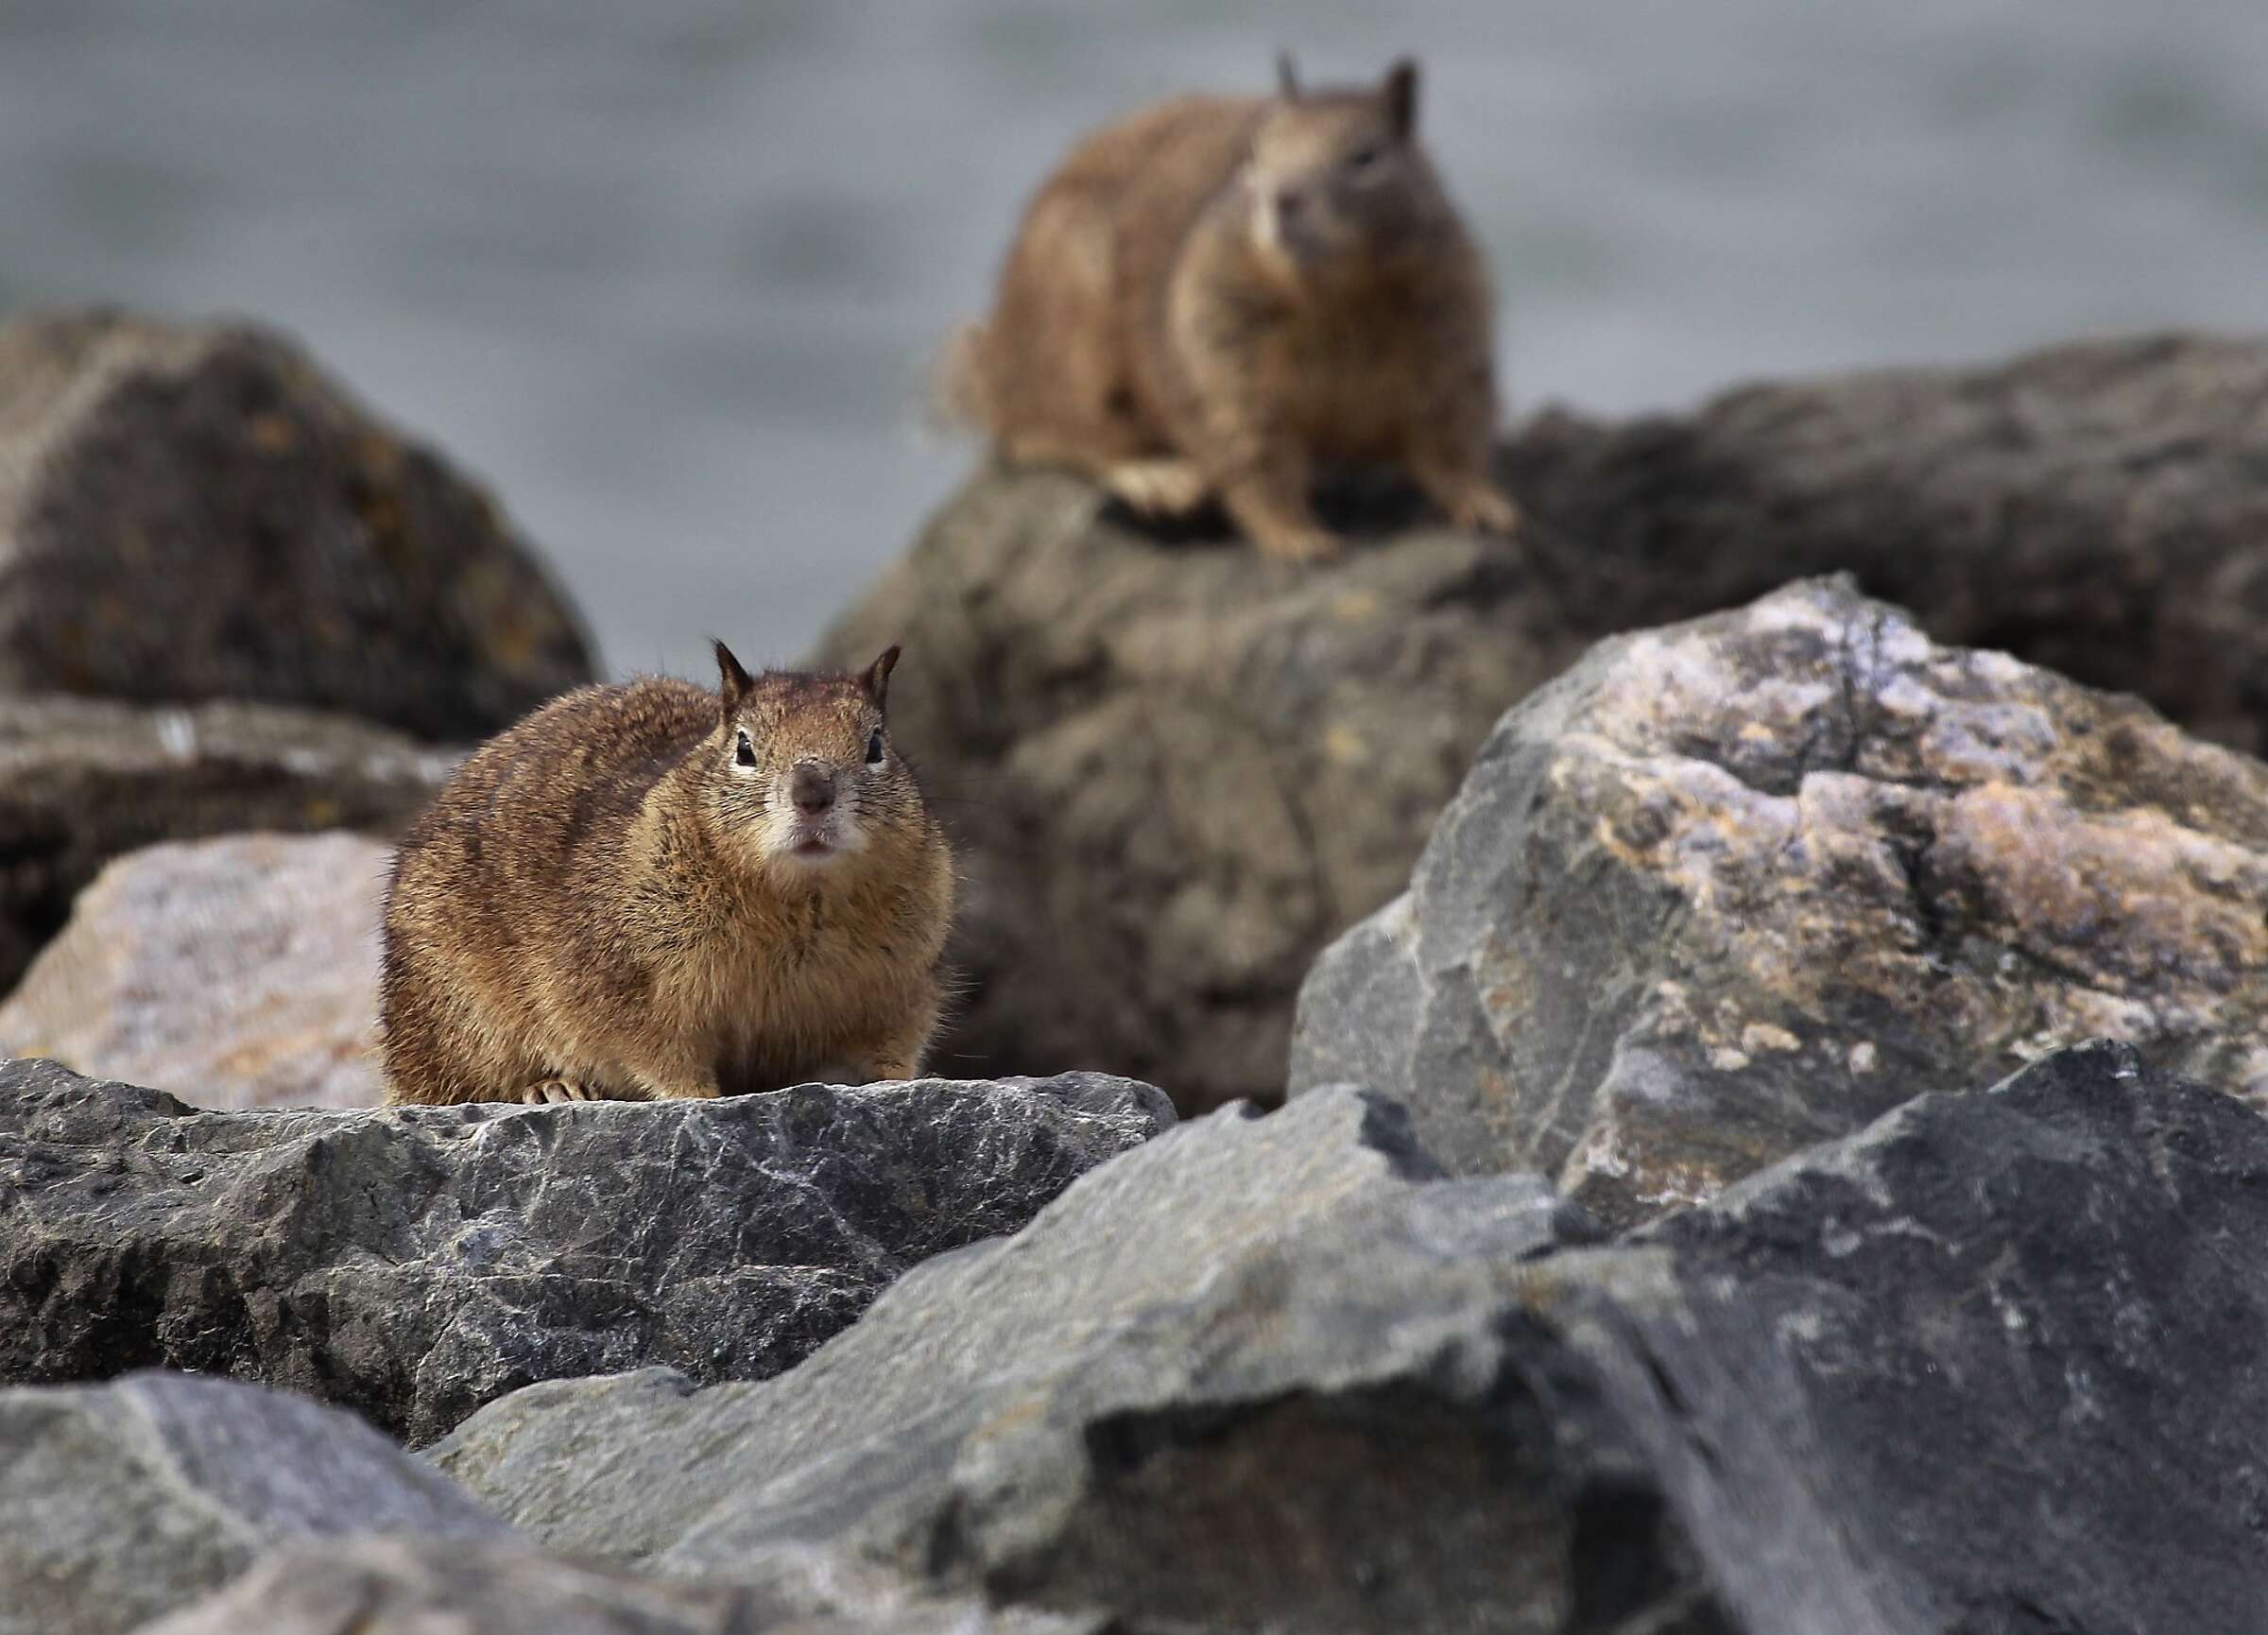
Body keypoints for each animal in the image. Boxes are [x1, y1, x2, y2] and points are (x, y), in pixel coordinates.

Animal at [378, 642, 954, 1106]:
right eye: (744, 747)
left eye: (876, 745)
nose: (813, 795)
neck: (802, 903)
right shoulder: (632, 989)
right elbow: (660, 1056)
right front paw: (699, 1098)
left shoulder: (901, 991)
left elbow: (890, 1052)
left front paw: (904, 1083)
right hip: (459, 1017)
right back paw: (550, 1087)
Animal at [941, 54, 1517, 565]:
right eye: (1255, 157)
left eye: (1366, 155)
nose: (1283, 198)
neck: (1333, 300)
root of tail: (993, 356)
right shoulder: (1223, 359)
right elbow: (1253, 457)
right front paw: (1299, 539)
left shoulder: (1453, 338)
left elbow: (1452, 439)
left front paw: (1485, 504)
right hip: (1074, 338)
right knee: (1046, 433)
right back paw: (1157, 477)